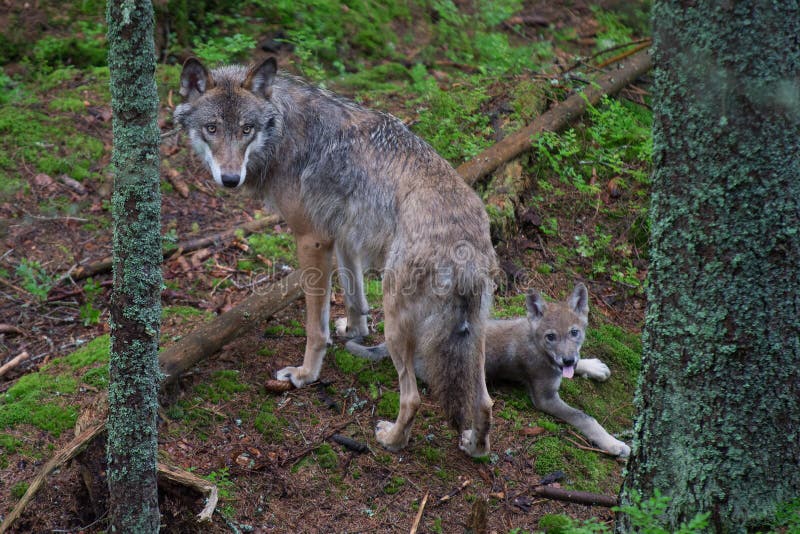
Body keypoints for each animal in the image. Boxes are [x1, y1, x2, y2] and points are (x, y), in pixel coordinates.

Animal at [174, 57, 497, 456]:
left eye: (247, 129)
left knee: (413, 399)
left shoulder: (312, 240)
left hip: (397, 324)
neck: (283, 131)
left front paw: (304, 375)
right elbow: (354, 296)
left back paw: (391, 440)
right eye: (212, 128)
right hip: (474, 335)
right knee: (484, 402)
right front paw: (354, 331)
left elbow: (316, 328)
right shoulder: (343, 237)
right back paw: (475, 448)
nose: (230, 179)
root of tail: (464, 240)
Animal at [347, 283, 631, 457]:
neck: (536, 342)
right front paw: (615, 444)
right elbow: (586, 418)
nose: (568, 360)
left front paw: (593, 366)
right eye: (551, 337)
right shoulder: (545, 398)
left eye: (574, 332)